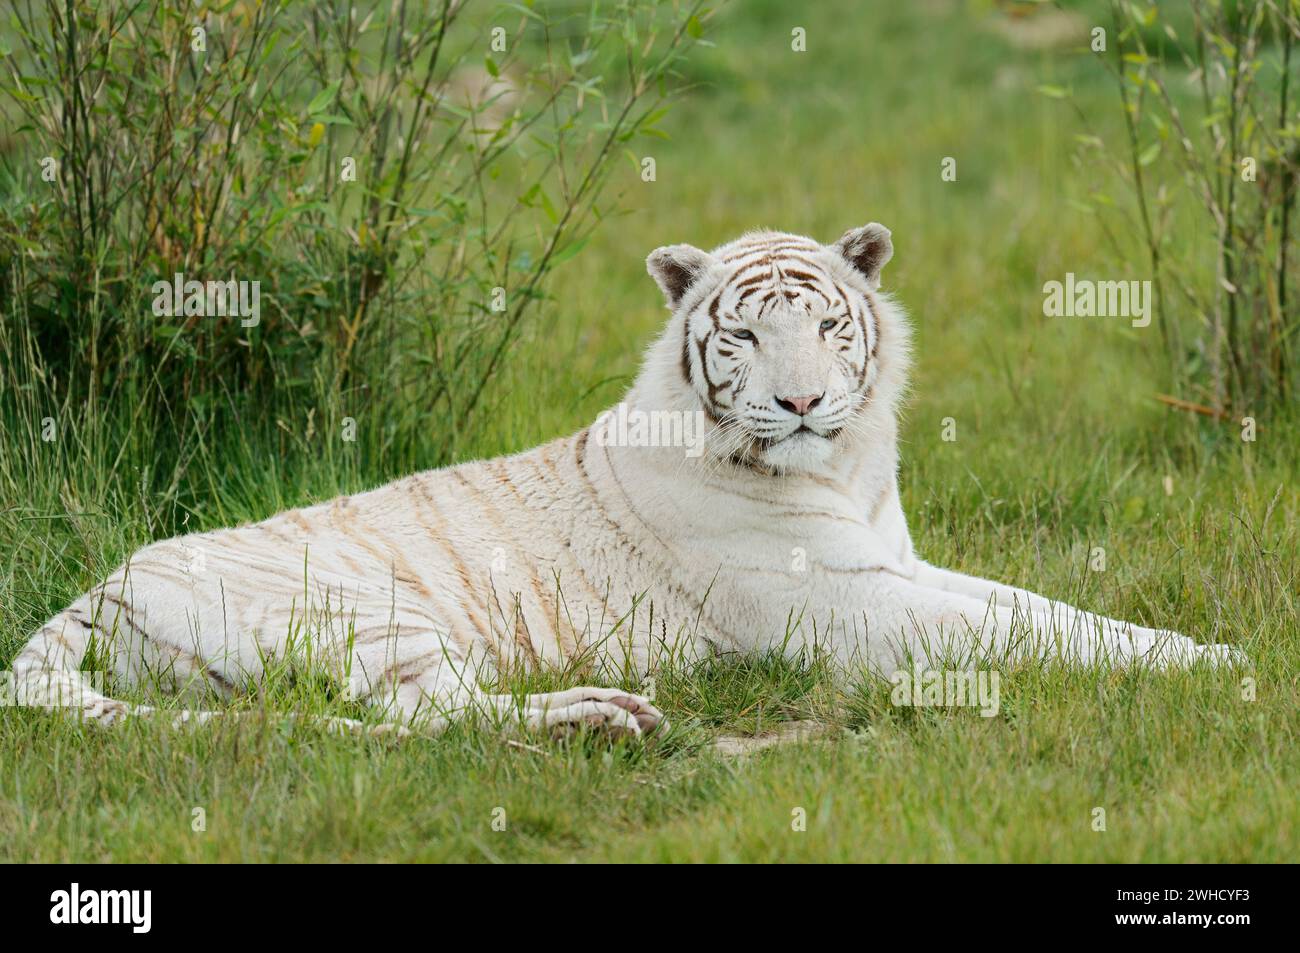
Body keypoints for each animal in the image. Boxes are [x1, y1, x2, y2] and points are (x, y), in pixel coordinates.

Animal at [12, 223, 1243, 738]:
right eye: (743, 335)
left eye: (826, 328)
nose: (802, 404)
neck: (844, 469)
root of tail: (93, 588)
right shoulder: (852, 609)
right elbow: (1042, 634)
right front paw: (1223, 668)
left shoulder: (898, 564)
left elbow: (1045, 606)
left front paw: (1201, 646)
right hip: (368, 613)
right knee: (424, 715)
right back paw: (598, 715)